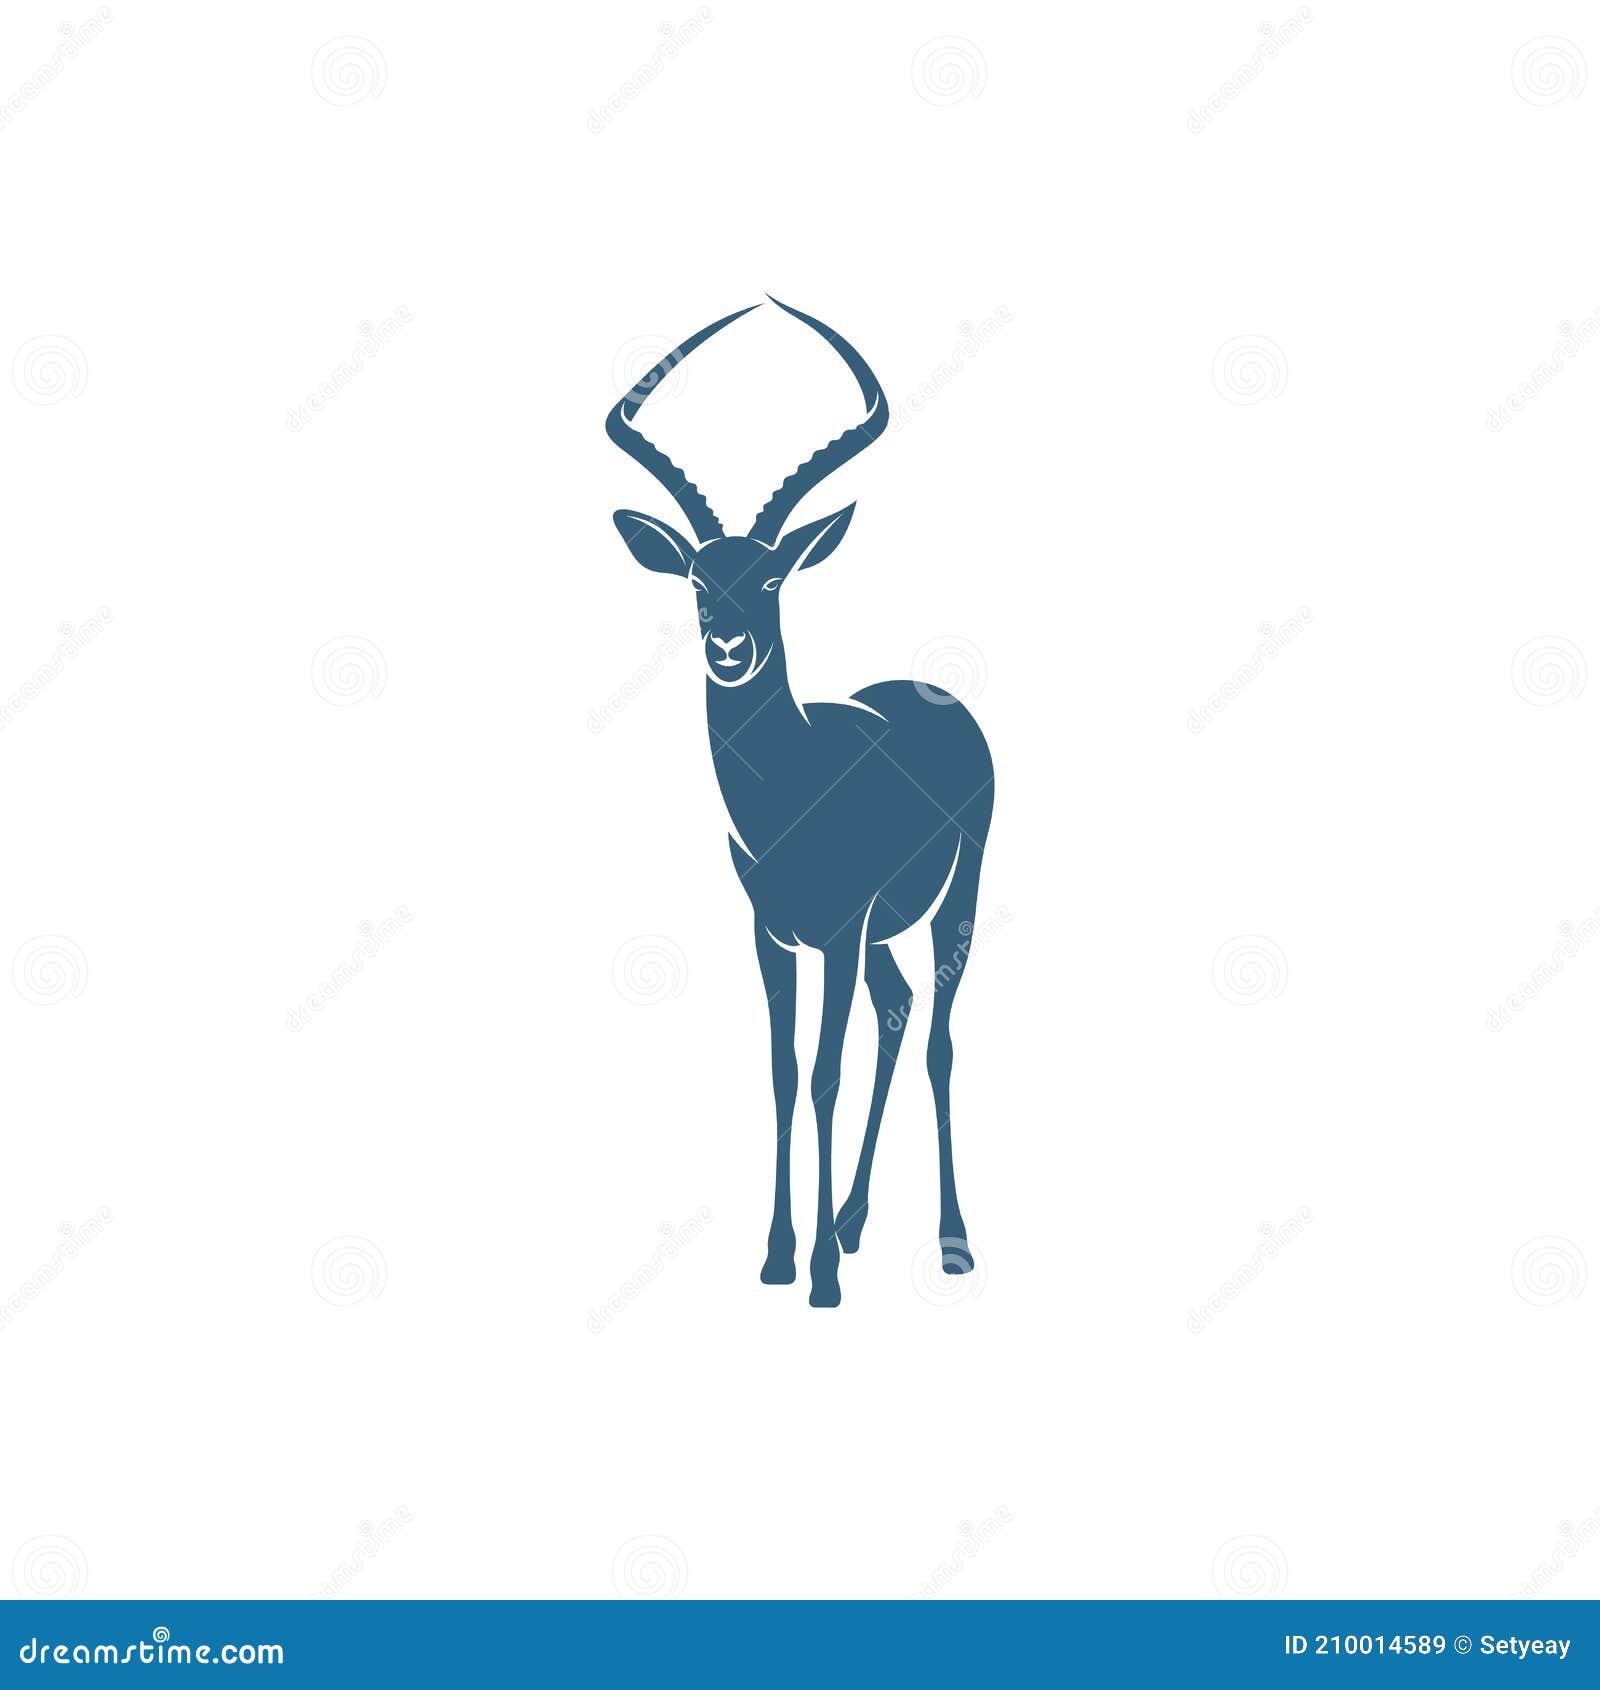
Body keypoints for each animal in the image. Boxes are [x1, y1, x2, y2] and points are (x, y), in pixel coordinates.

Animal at [606, 299, 995, 1307]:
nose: (729, 648)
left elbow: (823, 1075)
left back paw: (949, 1244)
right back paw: (855, 1222)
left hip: (955, 899)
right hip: (881, 935)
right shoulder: (771, 930)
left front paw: (819, 1276)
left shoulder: (839, 930)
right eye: (698, 578)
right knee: (895, 1013)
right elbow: (784, 1075)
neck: (793, 791)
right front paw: (781, 1256)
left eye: (773, 577)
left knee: (936, 1035)